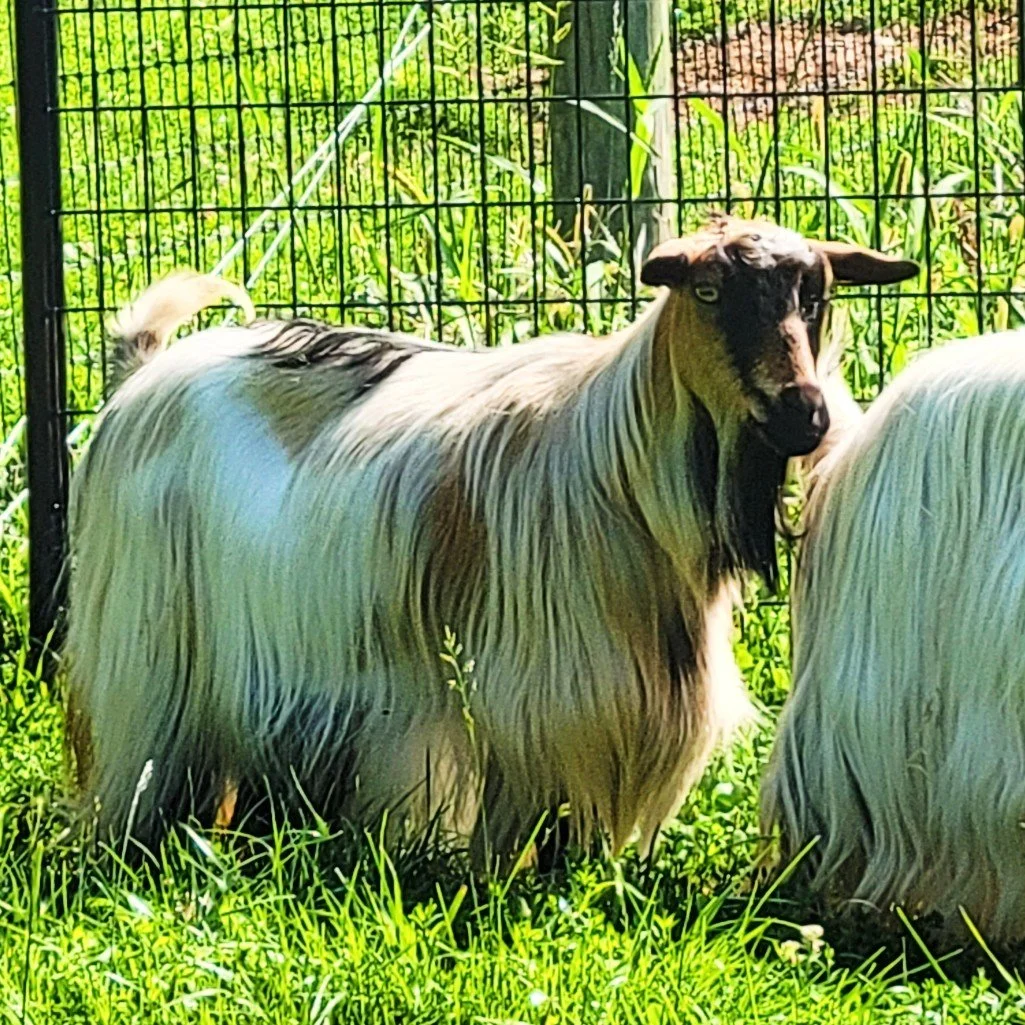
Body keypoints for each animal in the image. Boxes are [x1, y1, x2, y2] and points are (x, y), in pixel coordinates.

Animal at [65, 215, 917, 863]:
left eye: (817, 297)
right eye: (708, 293)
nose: (803, 413)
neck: (616, 465)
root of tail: (141, 373)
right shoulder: (542, 692)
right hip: (149, 638)